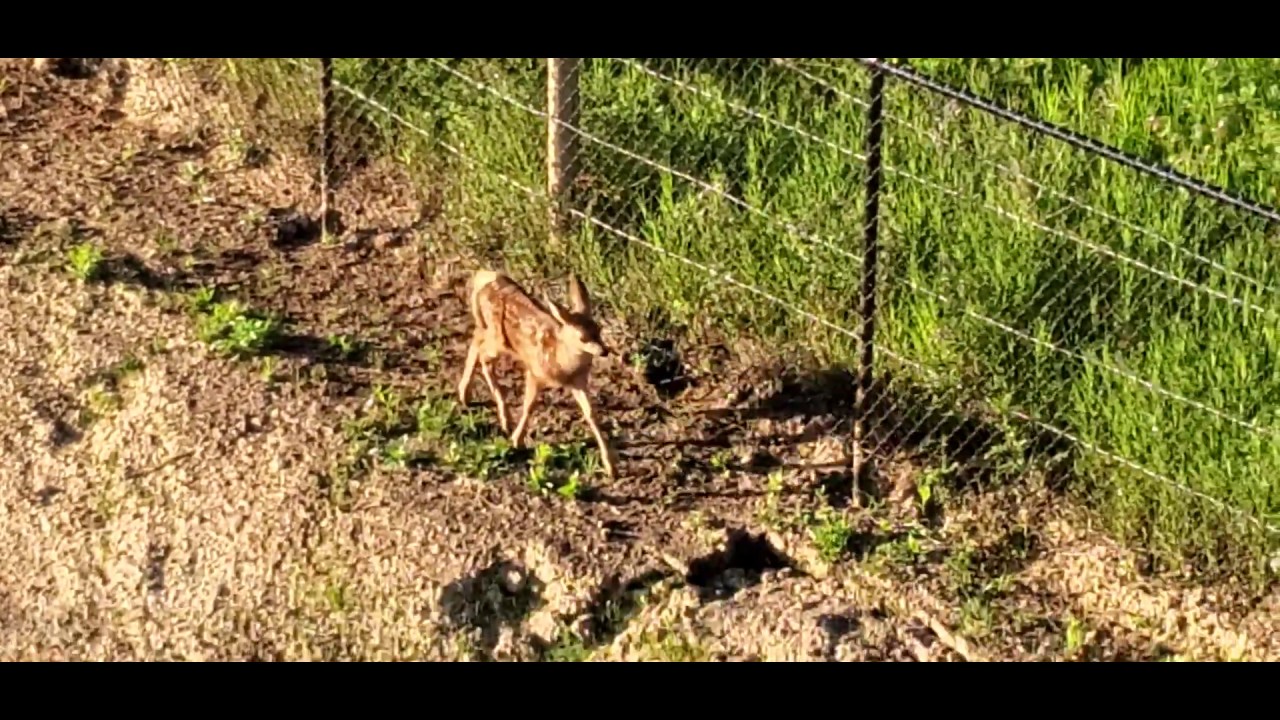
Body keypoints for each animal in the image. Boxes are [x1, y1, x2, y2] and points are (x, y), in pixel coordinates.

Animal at [457, 269, 619, 478]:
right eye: (583, 338)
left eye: (599, 329)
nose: (604, 351)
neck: (563, 363)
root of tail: (483, 276)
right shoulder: (534, 372)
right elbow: (529, 406)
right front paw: (517, 440)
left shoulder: (579, 381)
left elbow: (591, 414)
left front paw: (611, 466)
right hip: (497, 339)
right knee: (482, 351)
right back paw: (500, 415)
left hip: (490, 333)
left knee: (477, 342)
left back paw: (467, 396)